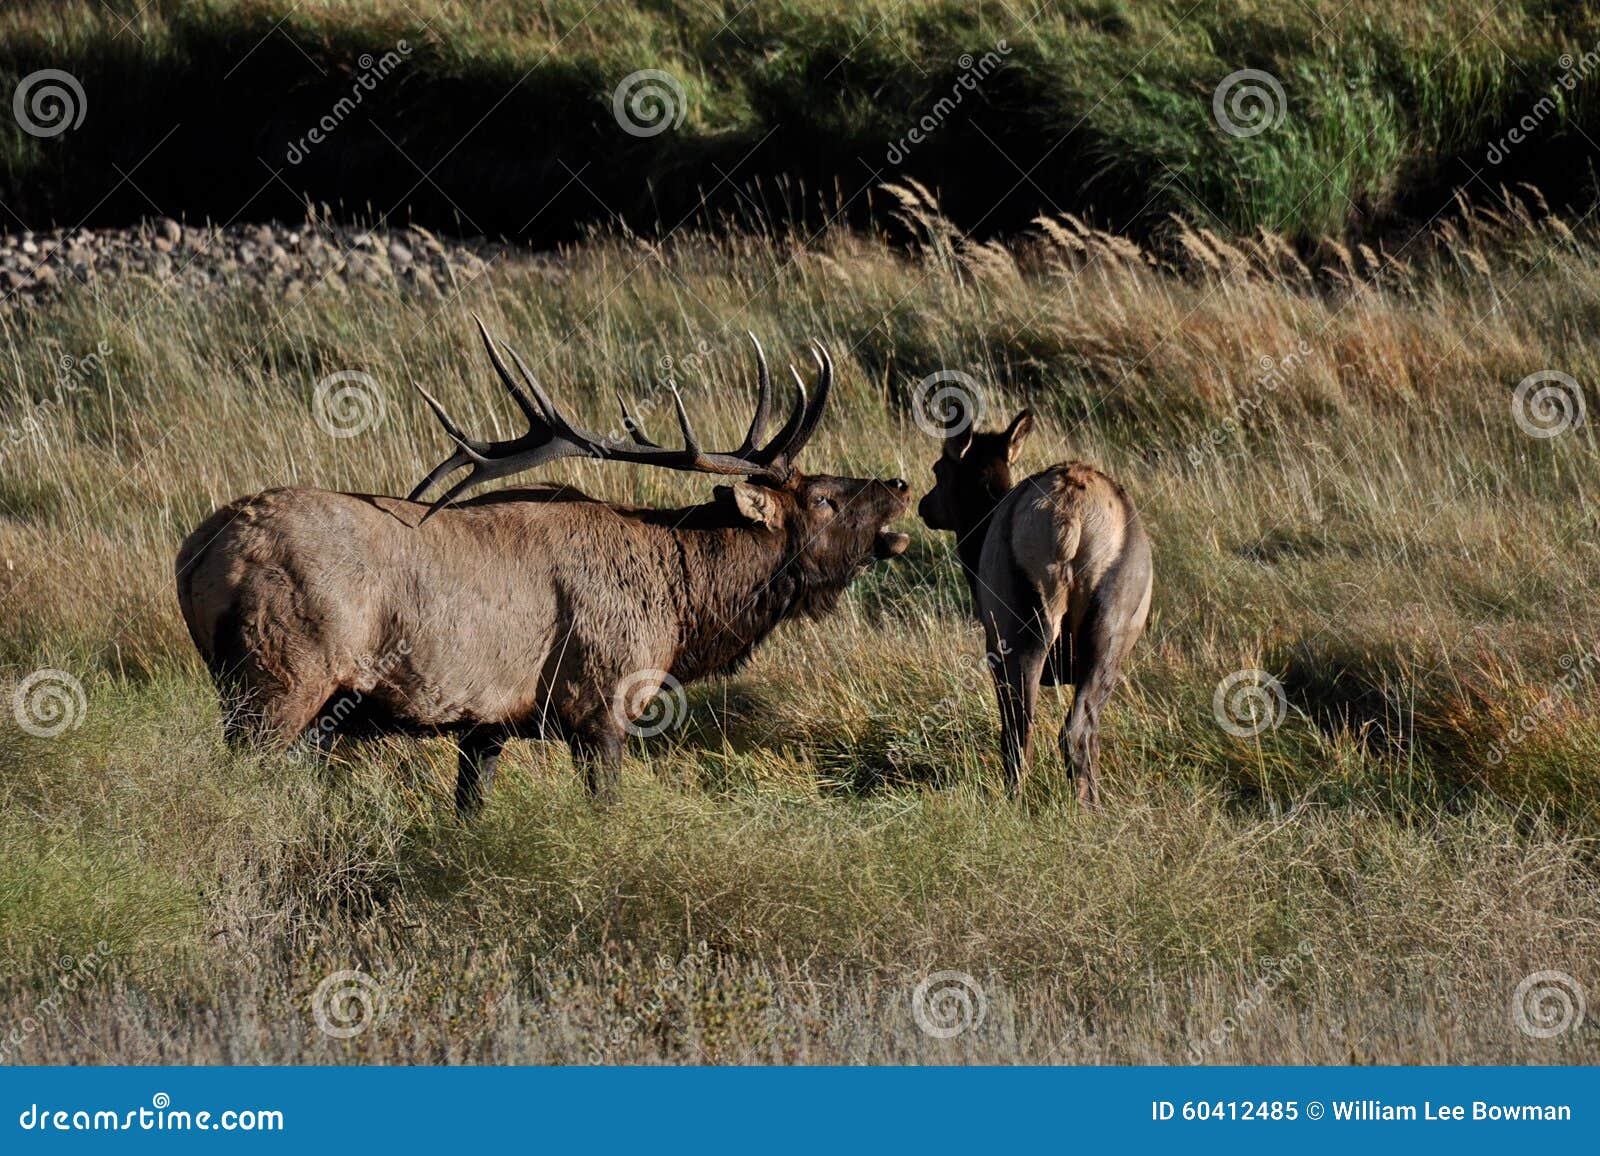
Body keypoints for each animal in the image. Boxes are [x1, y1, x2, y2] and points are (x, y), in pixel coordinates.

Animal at [175, 320, 911, 815]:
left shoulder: (487, 724)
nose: (900, 483)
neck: (683, 607)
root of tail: (198, 555)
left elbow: (468, 812)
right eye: (825, 498)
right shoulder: (604, 700)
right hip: (280, 681)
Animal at [916, 410, 1151, 806]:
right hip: (1110, 625)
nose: (923, 506)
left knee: (1019, 725)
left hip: (1019, 621)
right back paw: (1089, 804)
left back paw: (1015, 799)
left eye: (938, 469)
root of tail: (1071, 518)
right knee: (1077, 727)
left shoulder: (991, 642)